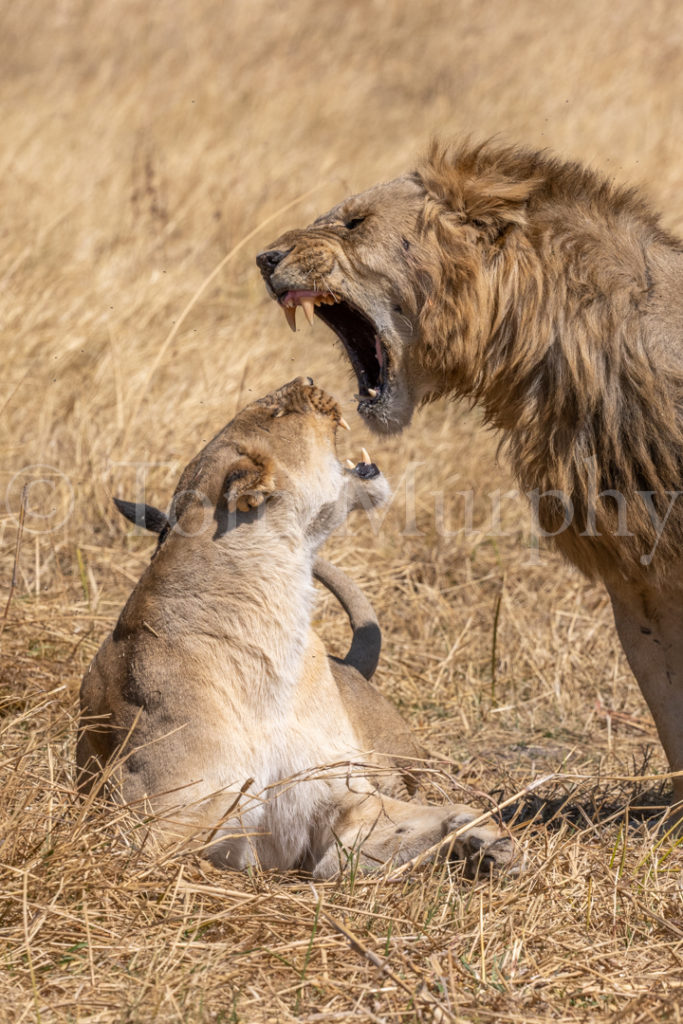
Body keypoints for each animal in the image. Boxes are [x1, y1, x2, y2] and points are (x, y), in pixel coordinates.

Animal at [77, 377, 520, 877]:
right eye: (276, 412)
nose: (306, 380)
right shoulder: (146, 829)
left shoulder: (345, 806)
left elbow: (426, 818)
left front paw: (484, 839)